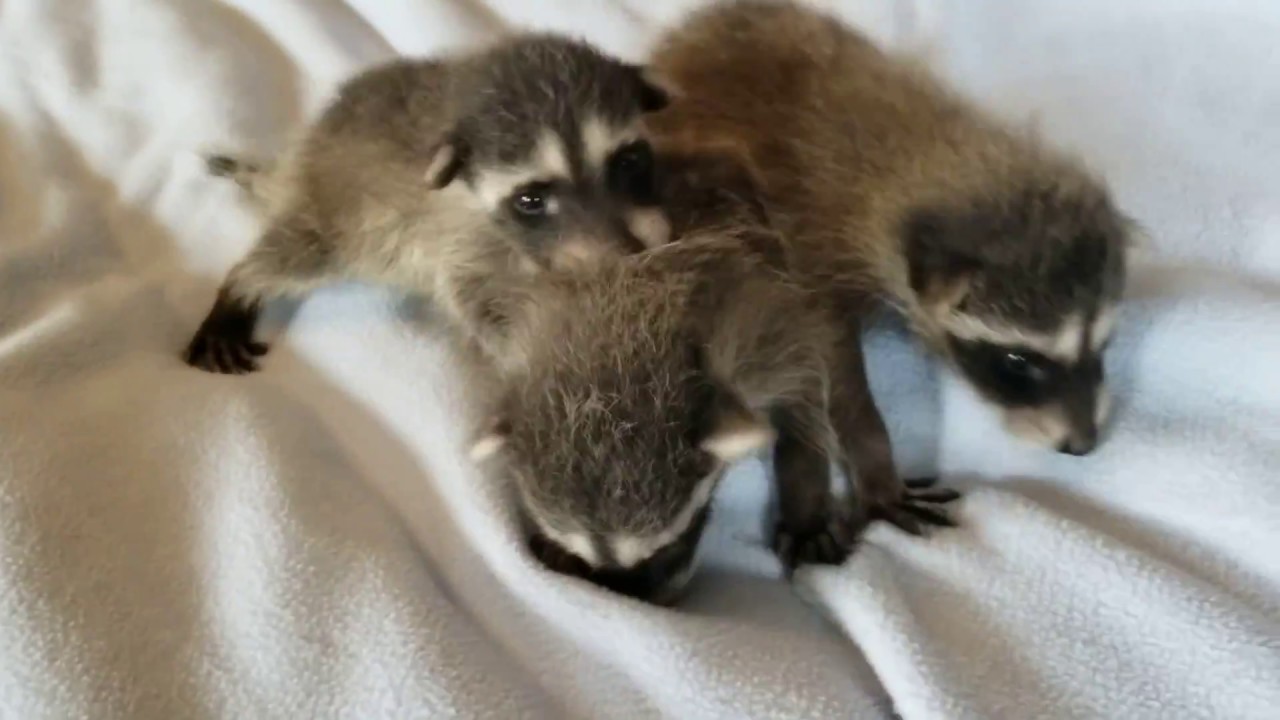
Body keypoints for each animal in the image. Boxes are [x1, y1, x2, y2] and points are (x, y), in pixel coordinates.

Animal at [184, 34, 671, 373]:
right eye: (531, 199)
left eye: (628, 161)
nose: (630, 252)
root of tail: (300, 154)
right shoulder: (455, 237)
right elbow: (483, 305)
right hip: (335, 212)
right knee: (294, 255)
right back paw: (240, 286)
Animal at [470, 214, 959, 604]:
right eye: (583, 551)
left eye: (671, 540)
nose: (645, 601)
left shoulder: (761, 320)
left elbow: (806, 398)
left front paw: (806, 500)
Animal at [647, 0, 1135, 455]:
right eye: (1016, 361)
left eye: (1103, 346)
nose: (1084, 444)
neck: (935, 160)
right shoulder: (813, 243)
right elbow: (827, 346)